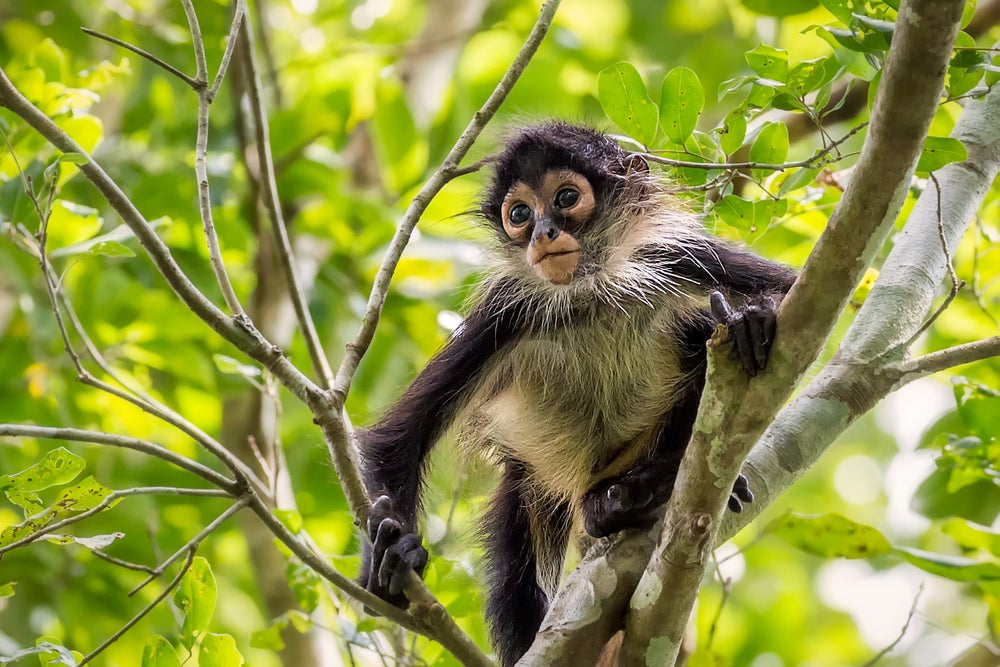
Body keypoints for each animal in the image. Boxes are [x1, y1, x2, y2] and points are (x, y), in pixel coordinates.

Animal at [357, 122, 796, 666]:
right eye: (520, 214)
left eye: (566, 198)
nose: (542, 233)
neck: (590, 294)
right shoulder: (506, 314)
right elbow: (398, 436)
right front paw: (392, 562)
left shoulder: (675, 256)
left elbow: (799, 292)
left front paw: (751, 318)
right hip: (531, 480)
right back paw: (618, 505)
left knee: (696, 333)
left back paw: (640, 489)